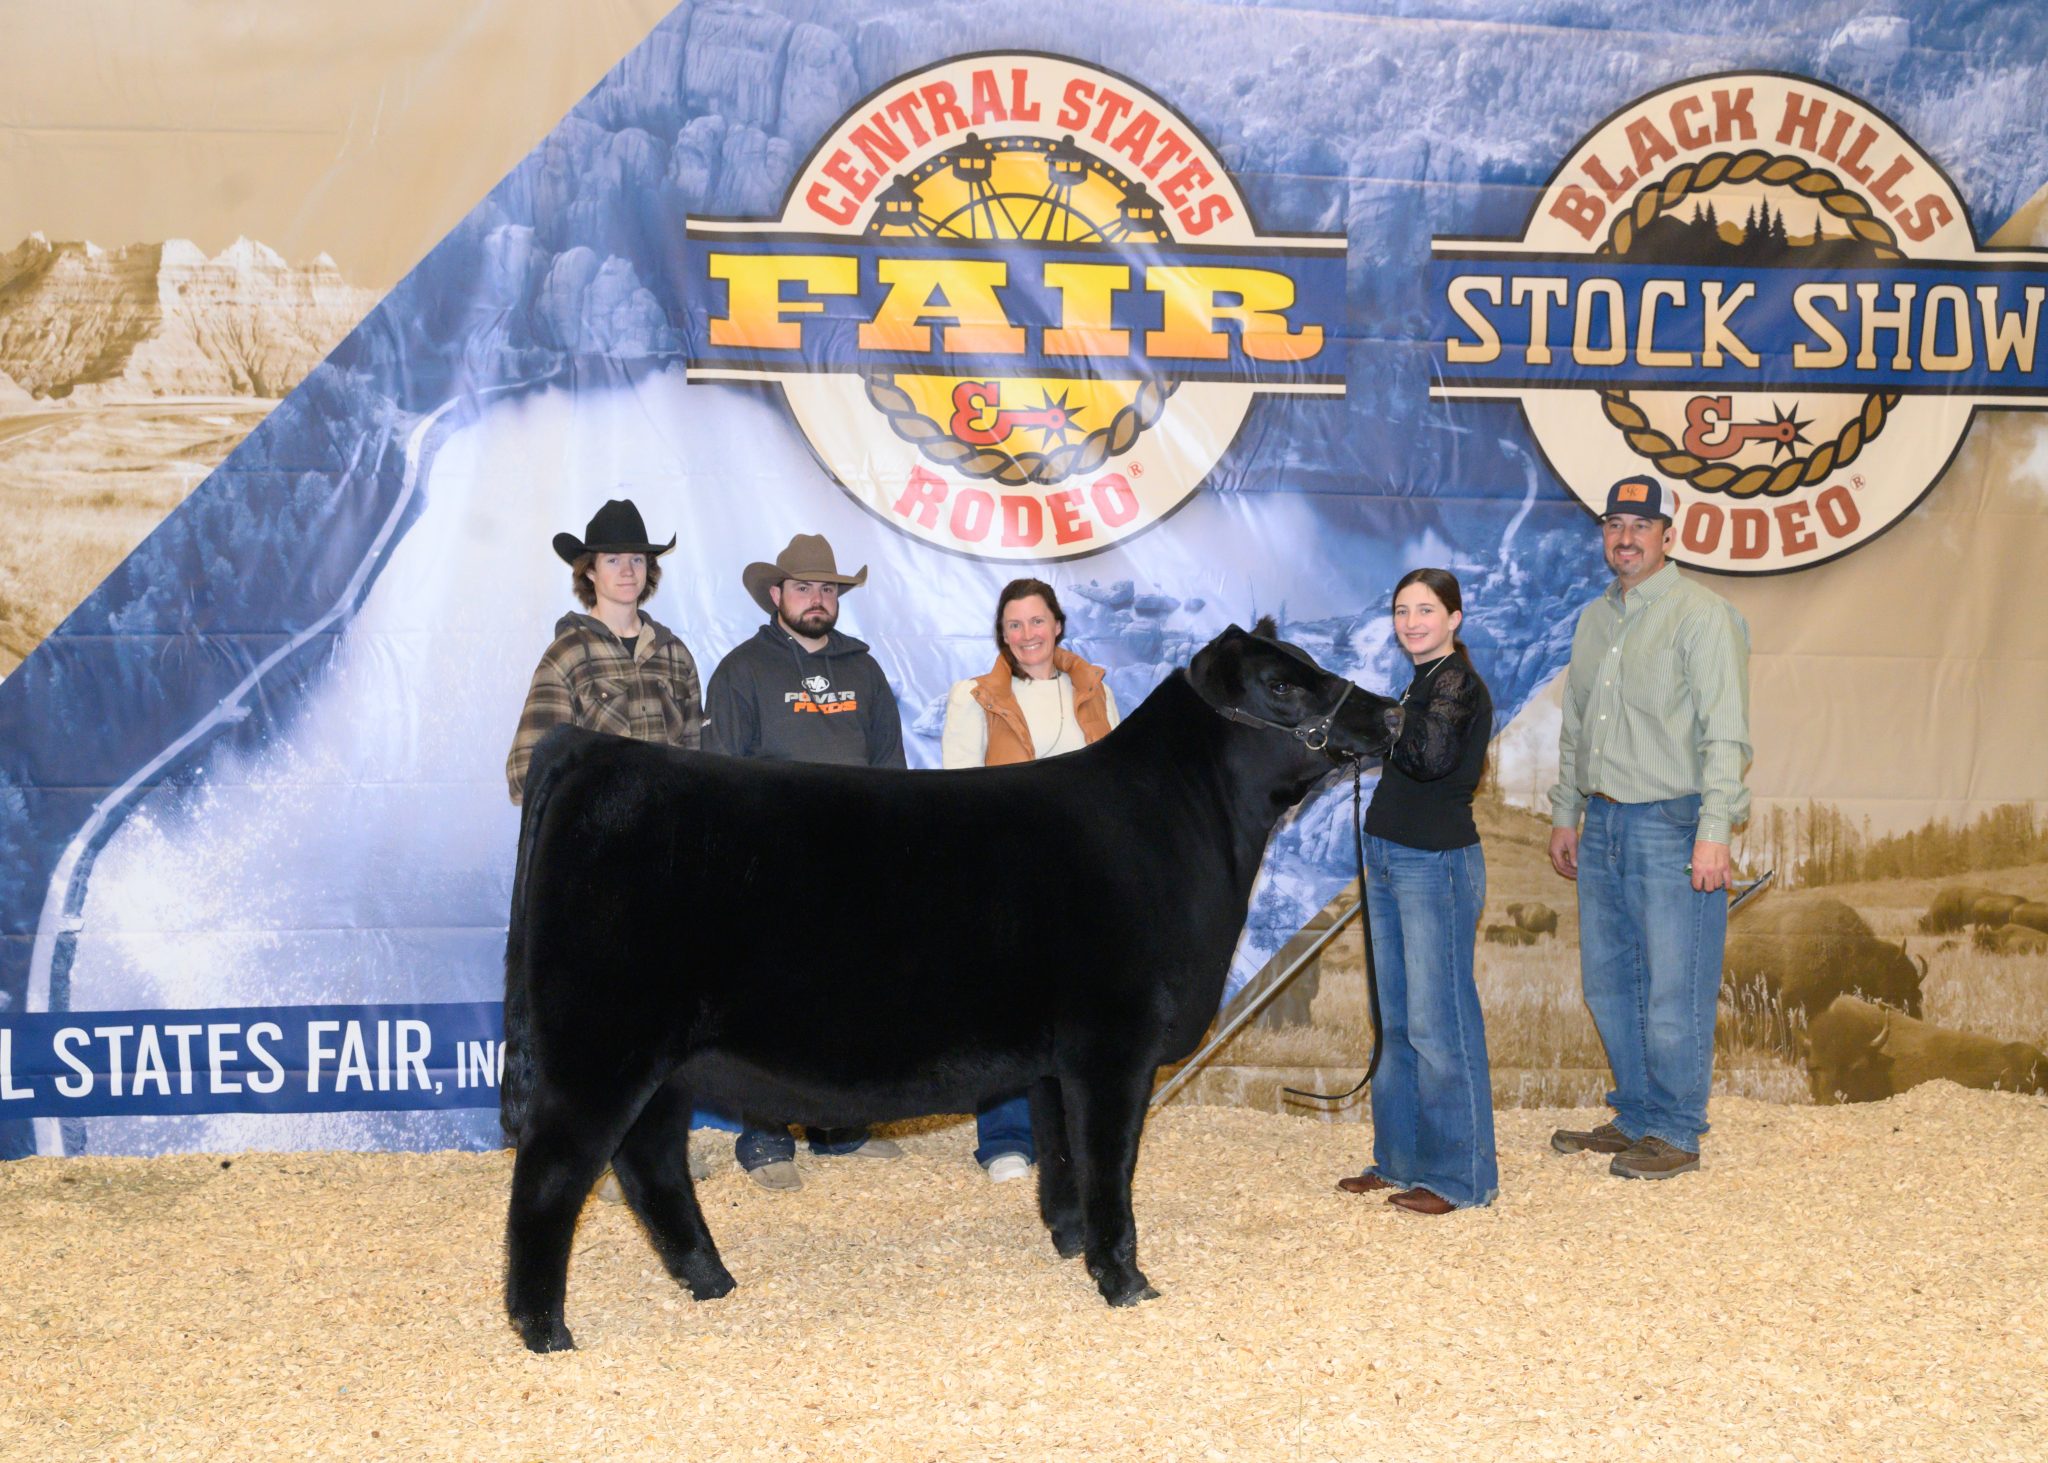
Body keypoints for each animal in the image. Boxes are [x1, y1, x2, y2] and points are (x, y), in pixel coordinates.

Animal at [498, 622, 1403, 1352]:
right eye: (1281, 684)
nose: (1390, 714)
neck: (1179, 827)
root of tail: (596, 751)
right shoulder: (1115, 1044)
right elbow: (1110, 1163)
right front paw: (1124, 1279)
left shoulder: (1060, 1058)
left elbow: (1063, 1154)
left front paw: (1069, 1244)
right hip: (600, 1046)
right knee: (552, 1173)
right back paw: (544, 1329)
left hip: (660, 1060)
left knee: (649, 1161)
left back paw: (710, 1279)